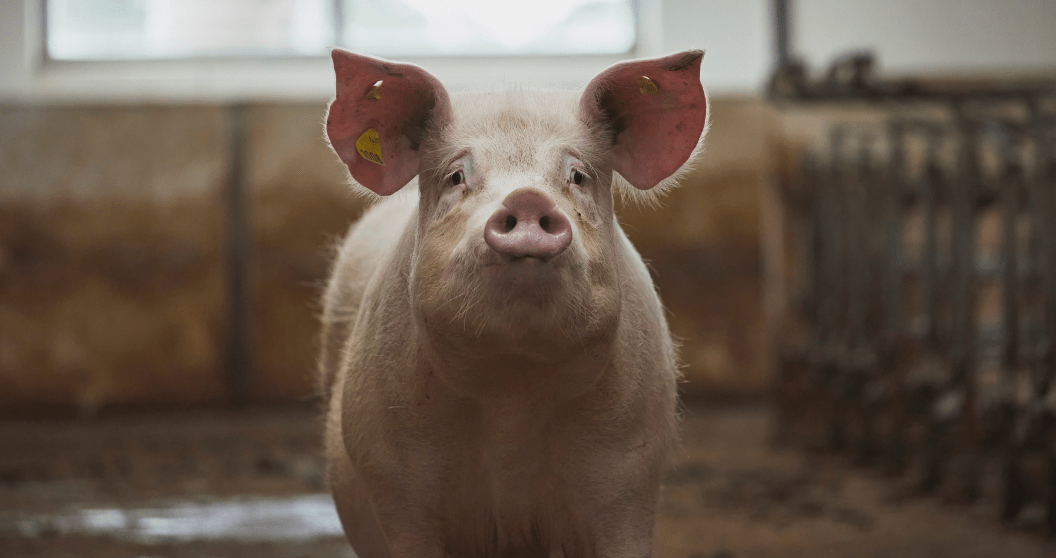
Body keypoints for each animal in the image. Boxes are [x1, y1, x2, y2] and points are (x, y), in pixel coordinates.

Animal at [318, 48, 708, 558]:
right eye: (456, 176)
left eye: (577, 175)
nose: (526, 198)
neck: (512, 392)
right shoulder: (396, 484)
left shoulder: (630, 475)